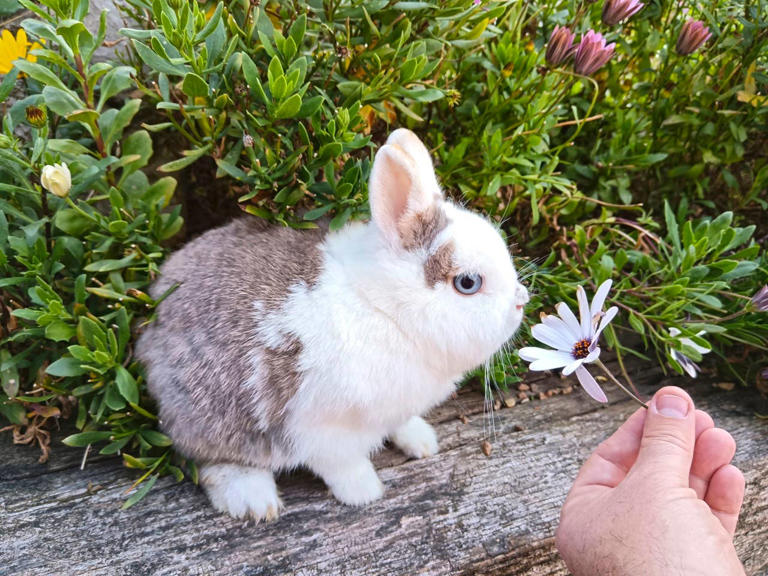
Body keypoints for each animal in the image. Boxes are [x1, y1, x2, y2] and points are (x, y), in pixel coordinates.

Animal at [135, 128, 529, 521]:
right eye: (468, 283)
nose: (521, 300)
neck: (386, 309)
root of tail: (150, 332)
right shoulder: (323, 430)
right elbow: (342, 465)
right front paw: (365, 493)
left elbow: (402, 424)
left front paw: (422, 442)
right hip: (212, 417)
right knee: (211, 461)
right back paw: (255, 502)